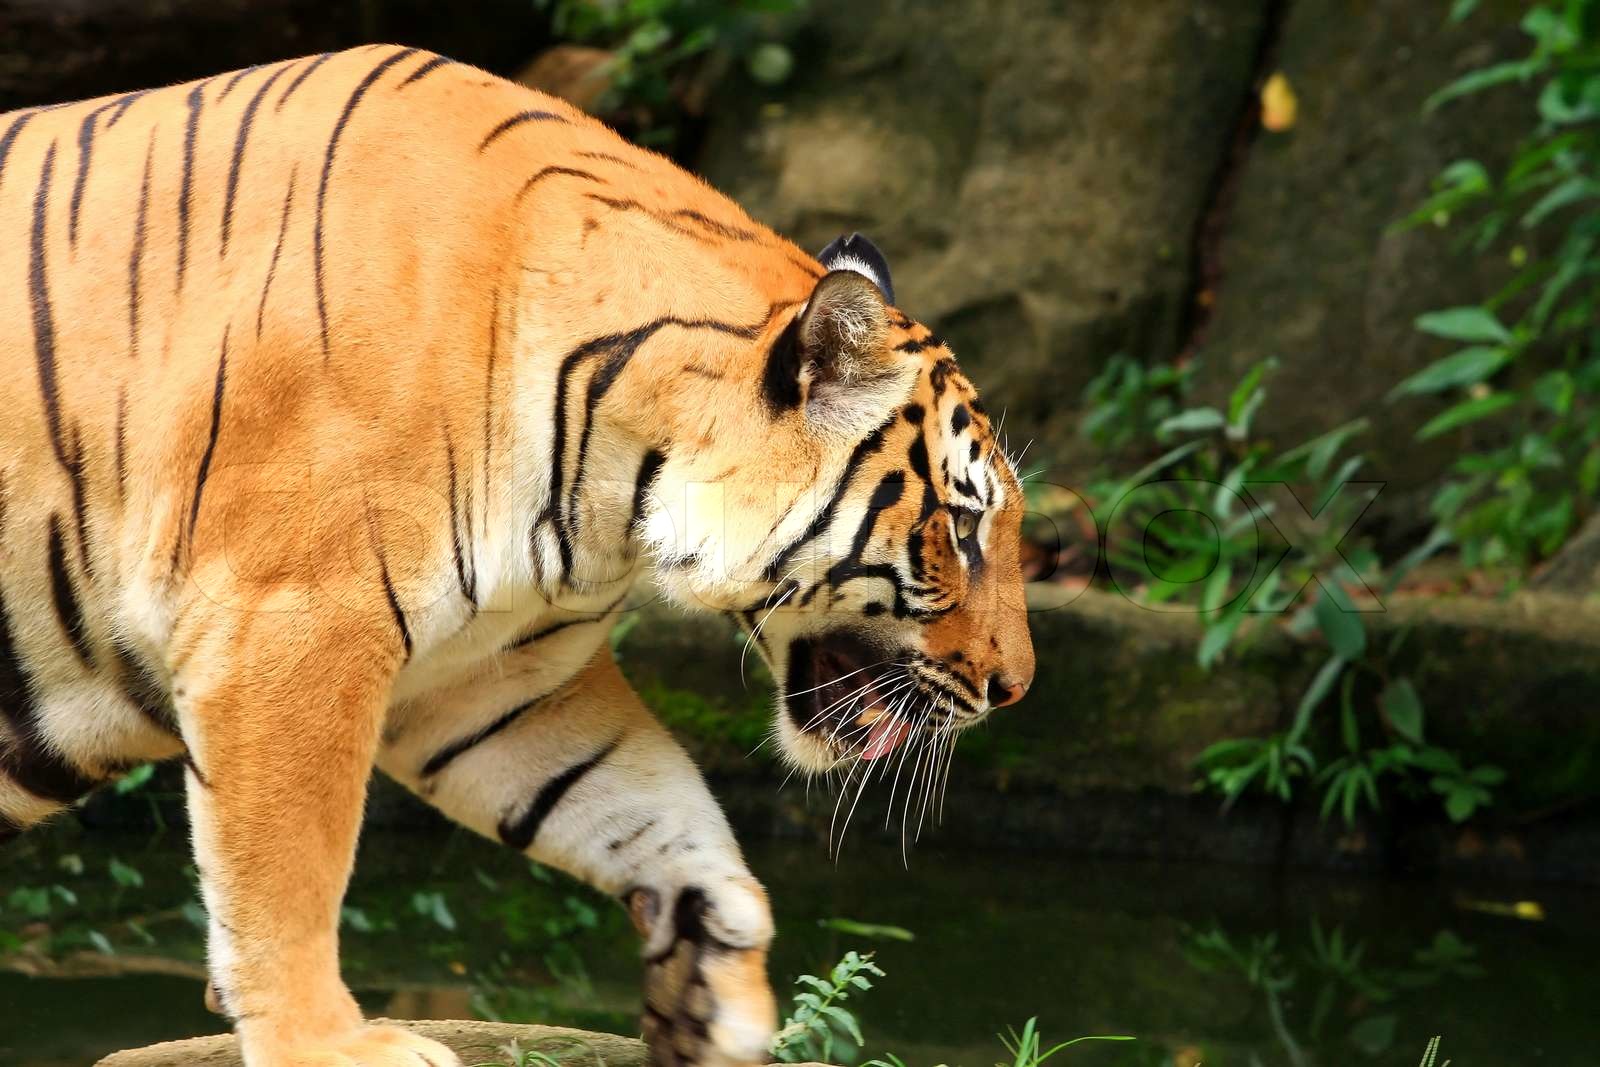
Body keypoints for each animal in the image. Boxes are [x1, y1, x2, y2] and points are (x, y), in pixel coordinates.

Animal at [0, 45, 1035, 1067]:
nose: (1015, 686)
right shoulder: (286, 628)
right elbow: (289, 864)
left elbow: (656, 806)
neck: (613, 488)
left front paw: (714, 983)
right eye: (965, 527)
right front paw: (328, 1043)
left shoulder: (500, 679)